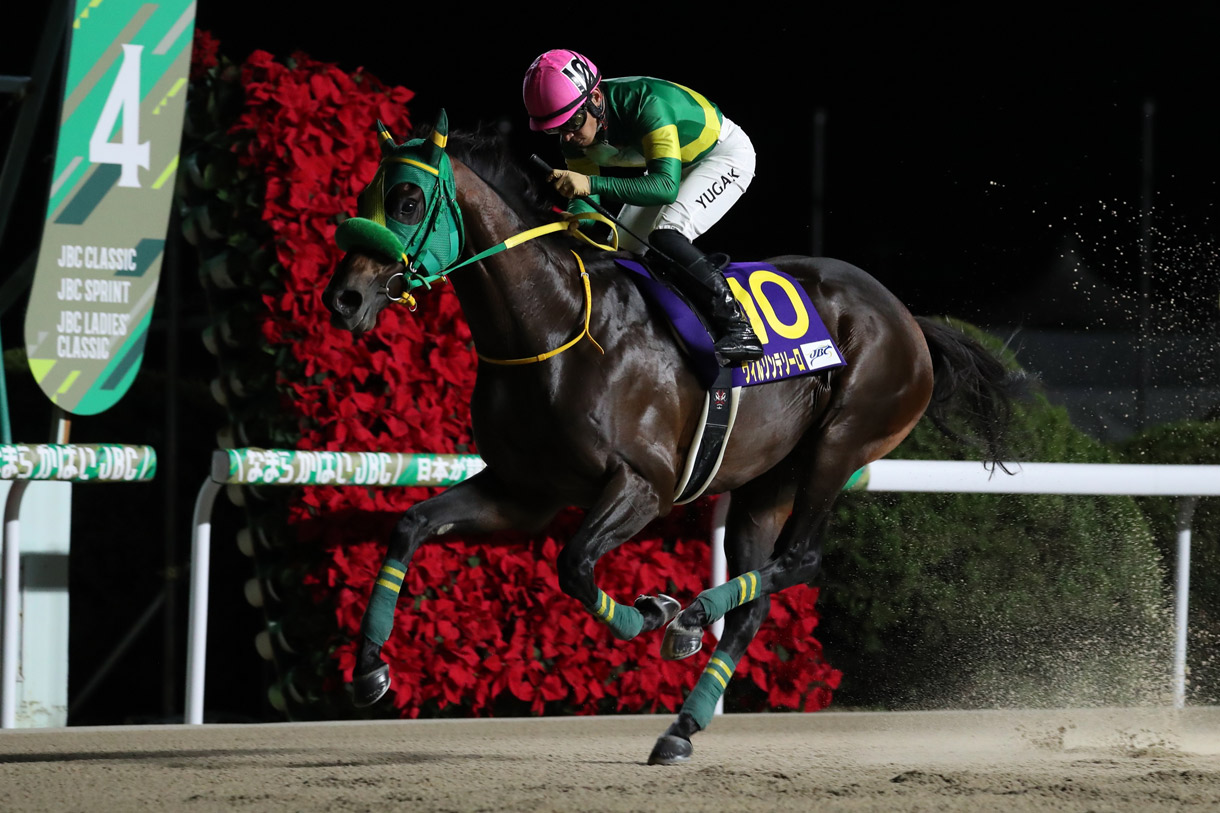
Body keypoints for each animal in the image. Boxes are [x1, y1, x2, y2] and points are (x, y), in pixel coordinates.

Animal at [322, 110, 1020, 765]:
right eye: (364, 197)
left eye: (407, 200)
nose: (343, 299)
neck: (553, 327)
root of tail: (909, 319)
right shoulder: (524, 492)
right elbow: (411, 525)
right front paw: (369, 670)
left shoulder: (644, 485)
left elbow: (574, 564)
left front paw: (657, 611)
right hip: (769, 478)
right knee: (754, 601)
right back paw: (683, 721)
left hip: (841, 442)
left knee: (800, 559)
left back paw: (689, 618)